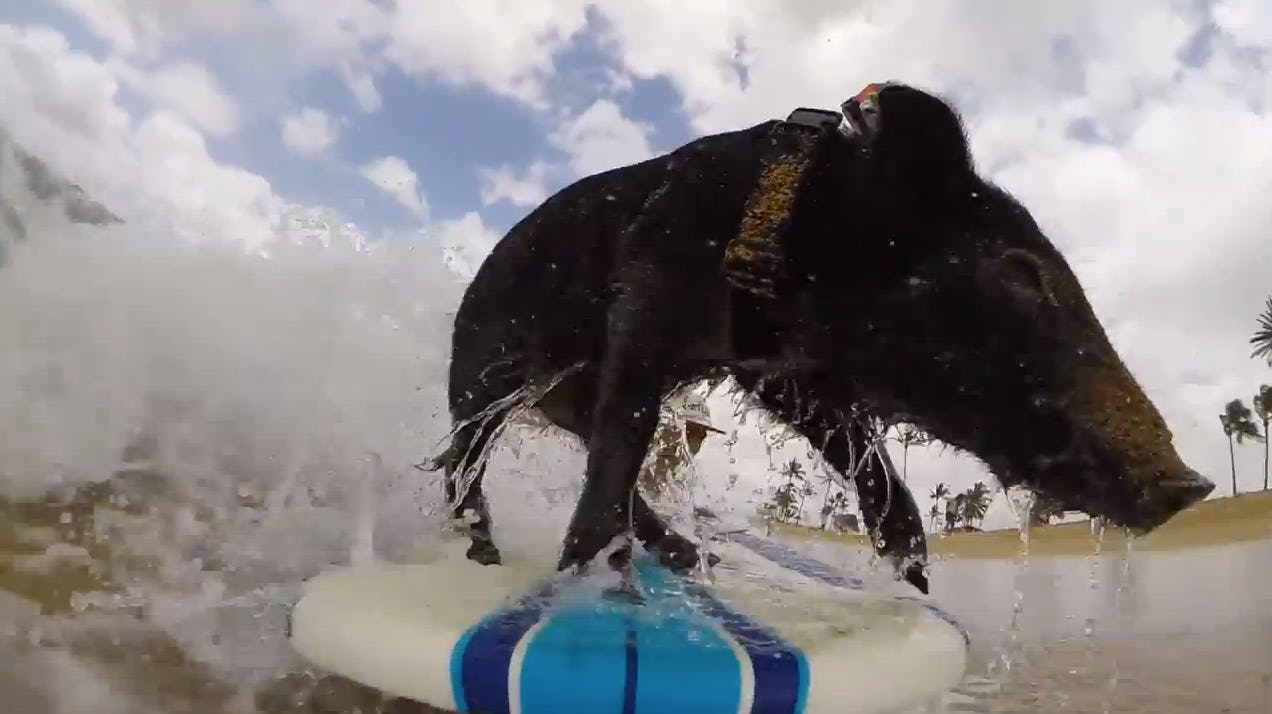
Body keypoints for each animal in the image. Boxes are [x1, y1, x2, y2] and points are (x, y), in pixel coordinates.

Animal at [426, 81, 1214, 594]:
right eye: (1021, 273)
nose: (1193, 484)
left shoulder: (779, 373)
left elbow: (877, 473)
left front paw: (915, 582)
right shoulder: (651, 290)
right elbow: (628, 433)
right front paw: (576, 578)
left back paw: (690, 561)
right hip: (478, 378)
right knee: (466, 465)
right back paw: (489, 558)